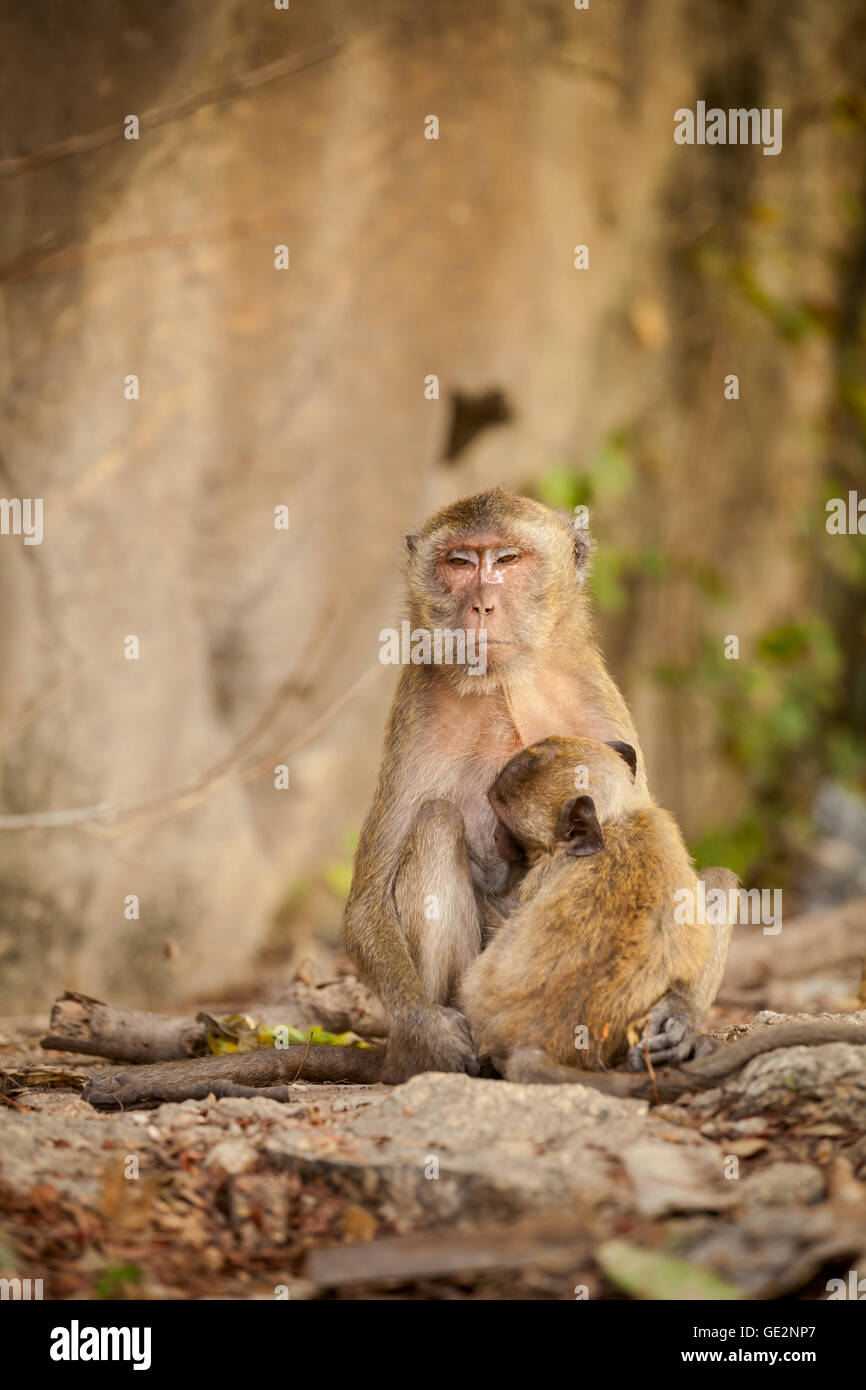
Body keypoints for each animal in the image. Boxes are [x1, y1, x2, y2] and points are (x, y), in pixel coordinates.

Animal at [341, 486, 687, 1083]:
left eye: (506, 560)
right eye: (459, 563)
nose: (482, 604)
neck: (504, 683)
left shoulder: (596, 698)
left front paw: (678, 1016)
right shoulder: (417, 712)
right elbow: (366, 901)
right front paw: (426, 1032)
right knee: (436, 821)